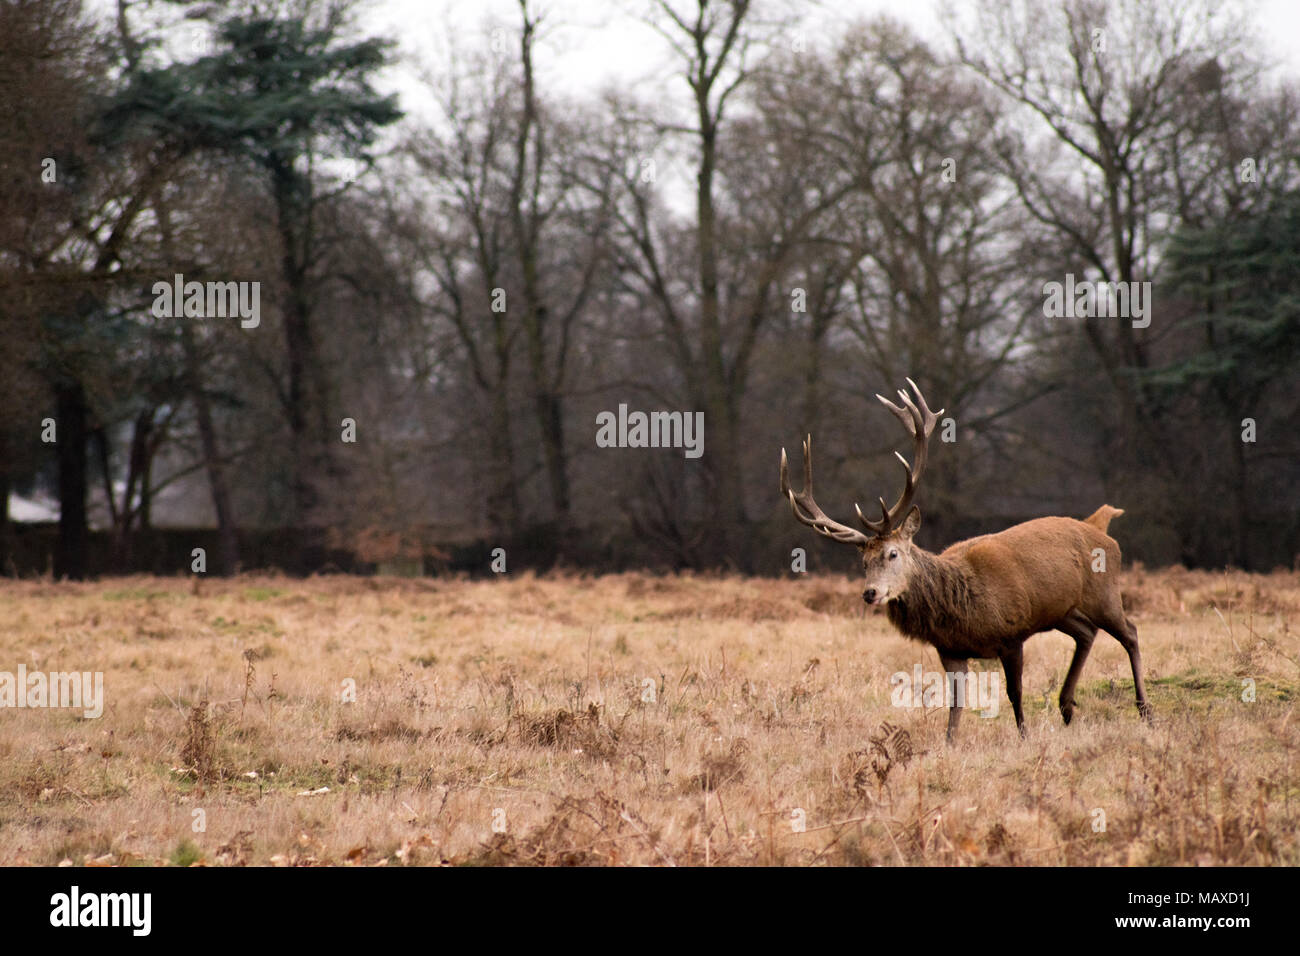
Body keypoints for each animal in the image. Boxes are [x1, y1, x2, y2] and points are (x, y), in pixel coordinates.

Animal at [780, 379, 1151, 743]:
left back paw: (1144, 710)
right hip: (1063, 610)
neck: (963, 607)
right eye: (863, 561)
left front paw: (1024, 737)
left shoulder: (1012, 633)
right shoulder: (951, 649)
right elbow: (955, 703)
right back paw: (1067, 707)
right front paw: (949, 743)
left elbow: (1014, 692)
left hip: (1103, 592)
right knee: (1086, 633)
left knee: (1130, 633)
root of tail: (1100, 526)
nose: (870, 593)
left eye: (892, 553)